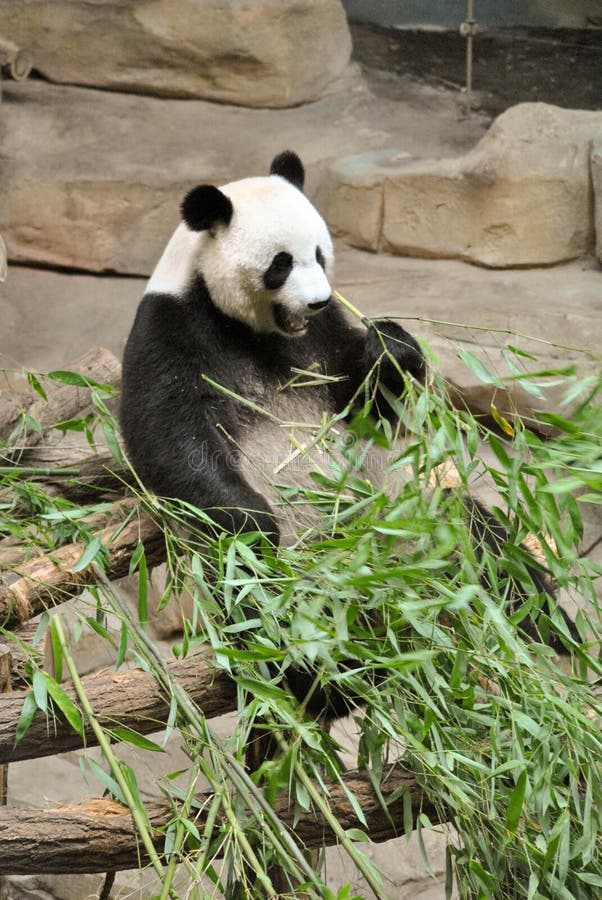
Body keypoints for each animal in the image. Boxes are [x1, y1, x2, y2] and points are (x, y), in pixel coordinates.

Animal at [120, 151, 577, 721]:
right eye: (280, 264)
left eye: (319, 253)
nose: (316, 301)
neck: (250, 328)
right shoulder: (171, 331)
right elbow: (166, 437)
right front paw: (251, 519)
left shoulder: (327, 335)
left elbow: (367, 405)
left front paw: (390, 346)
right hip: (279, 577)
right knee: (265, 600)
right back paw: (338, 674)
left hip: (412, 512)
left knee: (479, 539)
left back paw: (548, 626)